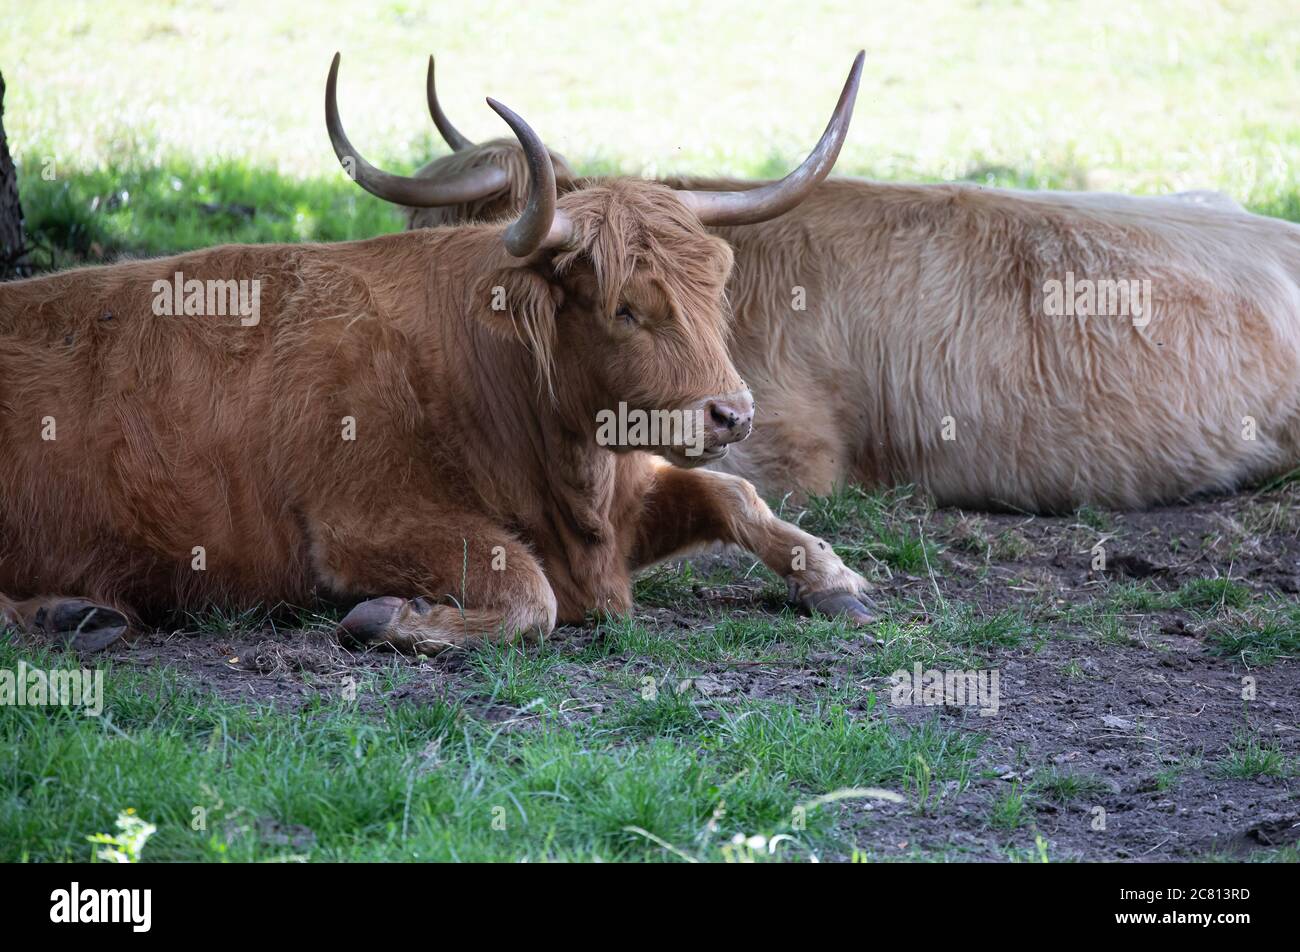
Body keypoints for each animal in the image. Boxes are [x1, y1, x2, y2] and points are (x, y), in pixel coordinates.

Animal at [0, 57, 874, 655]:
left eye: (715, 290)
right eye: (626, 307)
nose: (732, 413)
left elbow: (735, 495)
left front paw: (837, 580)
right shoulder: (362, 526)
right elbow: (528, 593)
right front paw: (390, 618)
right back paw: (67, 613)